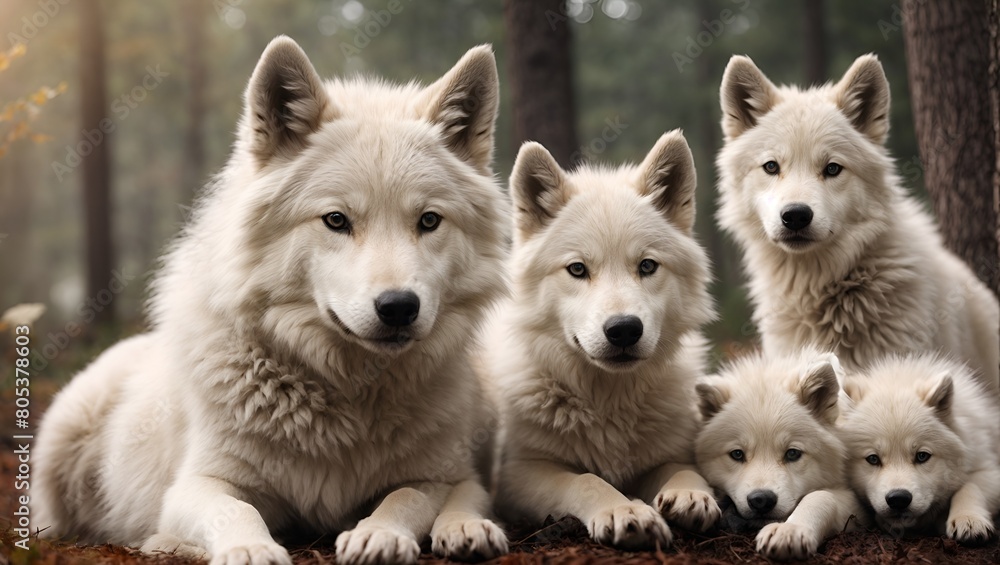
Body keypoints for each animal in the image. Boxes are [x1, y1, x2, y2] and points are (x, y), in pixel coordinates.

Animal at [33, 36, 510, 565]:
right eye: (336, 220)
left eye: (428, 221)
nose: (399, 307)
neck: (346, 394)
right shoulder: (198, 483)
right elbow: (237, 510)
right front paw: (249, 548)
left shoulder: (443, 472)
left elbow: (409, 495)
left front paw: (381, 534)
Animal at [488, 131, 720, 550]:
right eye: (578, 269)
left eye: (647, 266)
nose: (624, 329)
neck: (608, 401)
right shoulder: (518, 474)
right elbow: (587, 481)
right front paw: (624, 510)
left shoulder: (672, 452)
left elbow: (685, 469)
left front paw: (691, 494)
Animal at [695, 350, 864, 560]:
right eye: (737, 454)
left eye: (792, 453)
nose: (761, 500)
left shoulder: (855, 502)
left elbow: (820, 496)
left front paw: (790, 530)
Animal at [840, 354, 1000, 543]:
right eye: (873, 459)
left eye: (922, 456)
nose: (898, 499)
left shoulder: (989, 468)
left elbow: (969, 486)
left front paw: (969, 519)